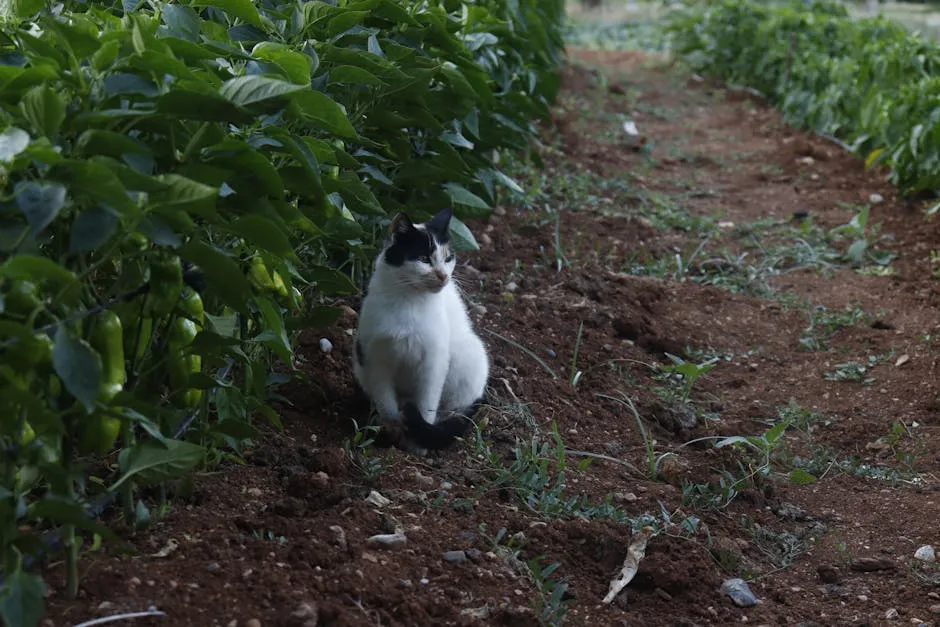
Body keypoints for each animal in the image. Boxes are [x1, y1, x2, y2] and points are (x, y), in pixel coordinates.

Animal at [350, 210, 488, 452]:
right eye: (424, 259)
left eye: (448, 257)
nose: (443, 276)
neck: (409, 302)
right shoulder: (376, 358)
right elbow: (386, 402)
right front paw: (392, 428)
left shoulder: (434, 362)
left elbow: (427, 404)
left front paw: (417, 444)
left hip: (469, 355)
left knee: (454, 411)